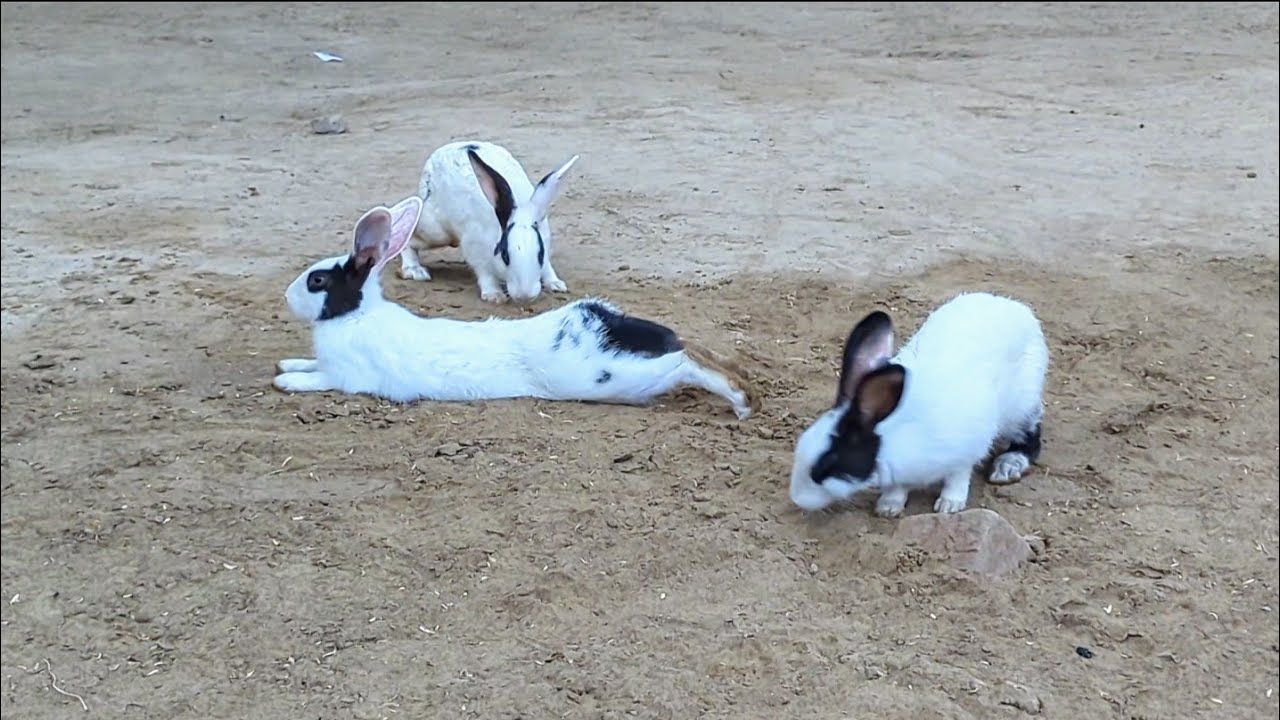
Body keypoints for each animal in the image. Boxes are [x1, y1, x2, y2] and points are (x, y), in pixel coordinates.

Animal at [275, 195, 759, 420]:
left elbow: (313, 380)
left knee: (686, 365)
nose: (286, 296)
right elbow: (303, 362)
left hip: (618, 378)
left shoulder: (347, 376)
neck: (356, 316)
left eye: (317, 280)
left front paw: (285, 381)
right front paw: (286, 363)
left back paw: (739, 402)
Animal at [397, 140, 580, 306]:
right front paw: (495, 296)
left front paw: (556, 284)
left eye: (540, 254)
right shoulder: (475, 250)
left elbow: (547, 267)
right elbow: (485, 275)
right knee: (408, 237)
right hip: (435, 230)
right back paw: (415, 271)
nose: (525, 296)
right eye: (505, 255)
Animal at [788, 291, 1049, 518]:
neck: (889, 440)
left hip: (1021, 407)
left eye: (826, 465)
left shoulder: (965, 450)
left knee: (1031, 433)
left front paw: (949, 505)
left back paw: (1008, 465)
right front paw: (888, 507)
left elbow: (958, 477)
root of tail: (1016, 307)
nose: (797, 499)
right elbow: (897, 489)